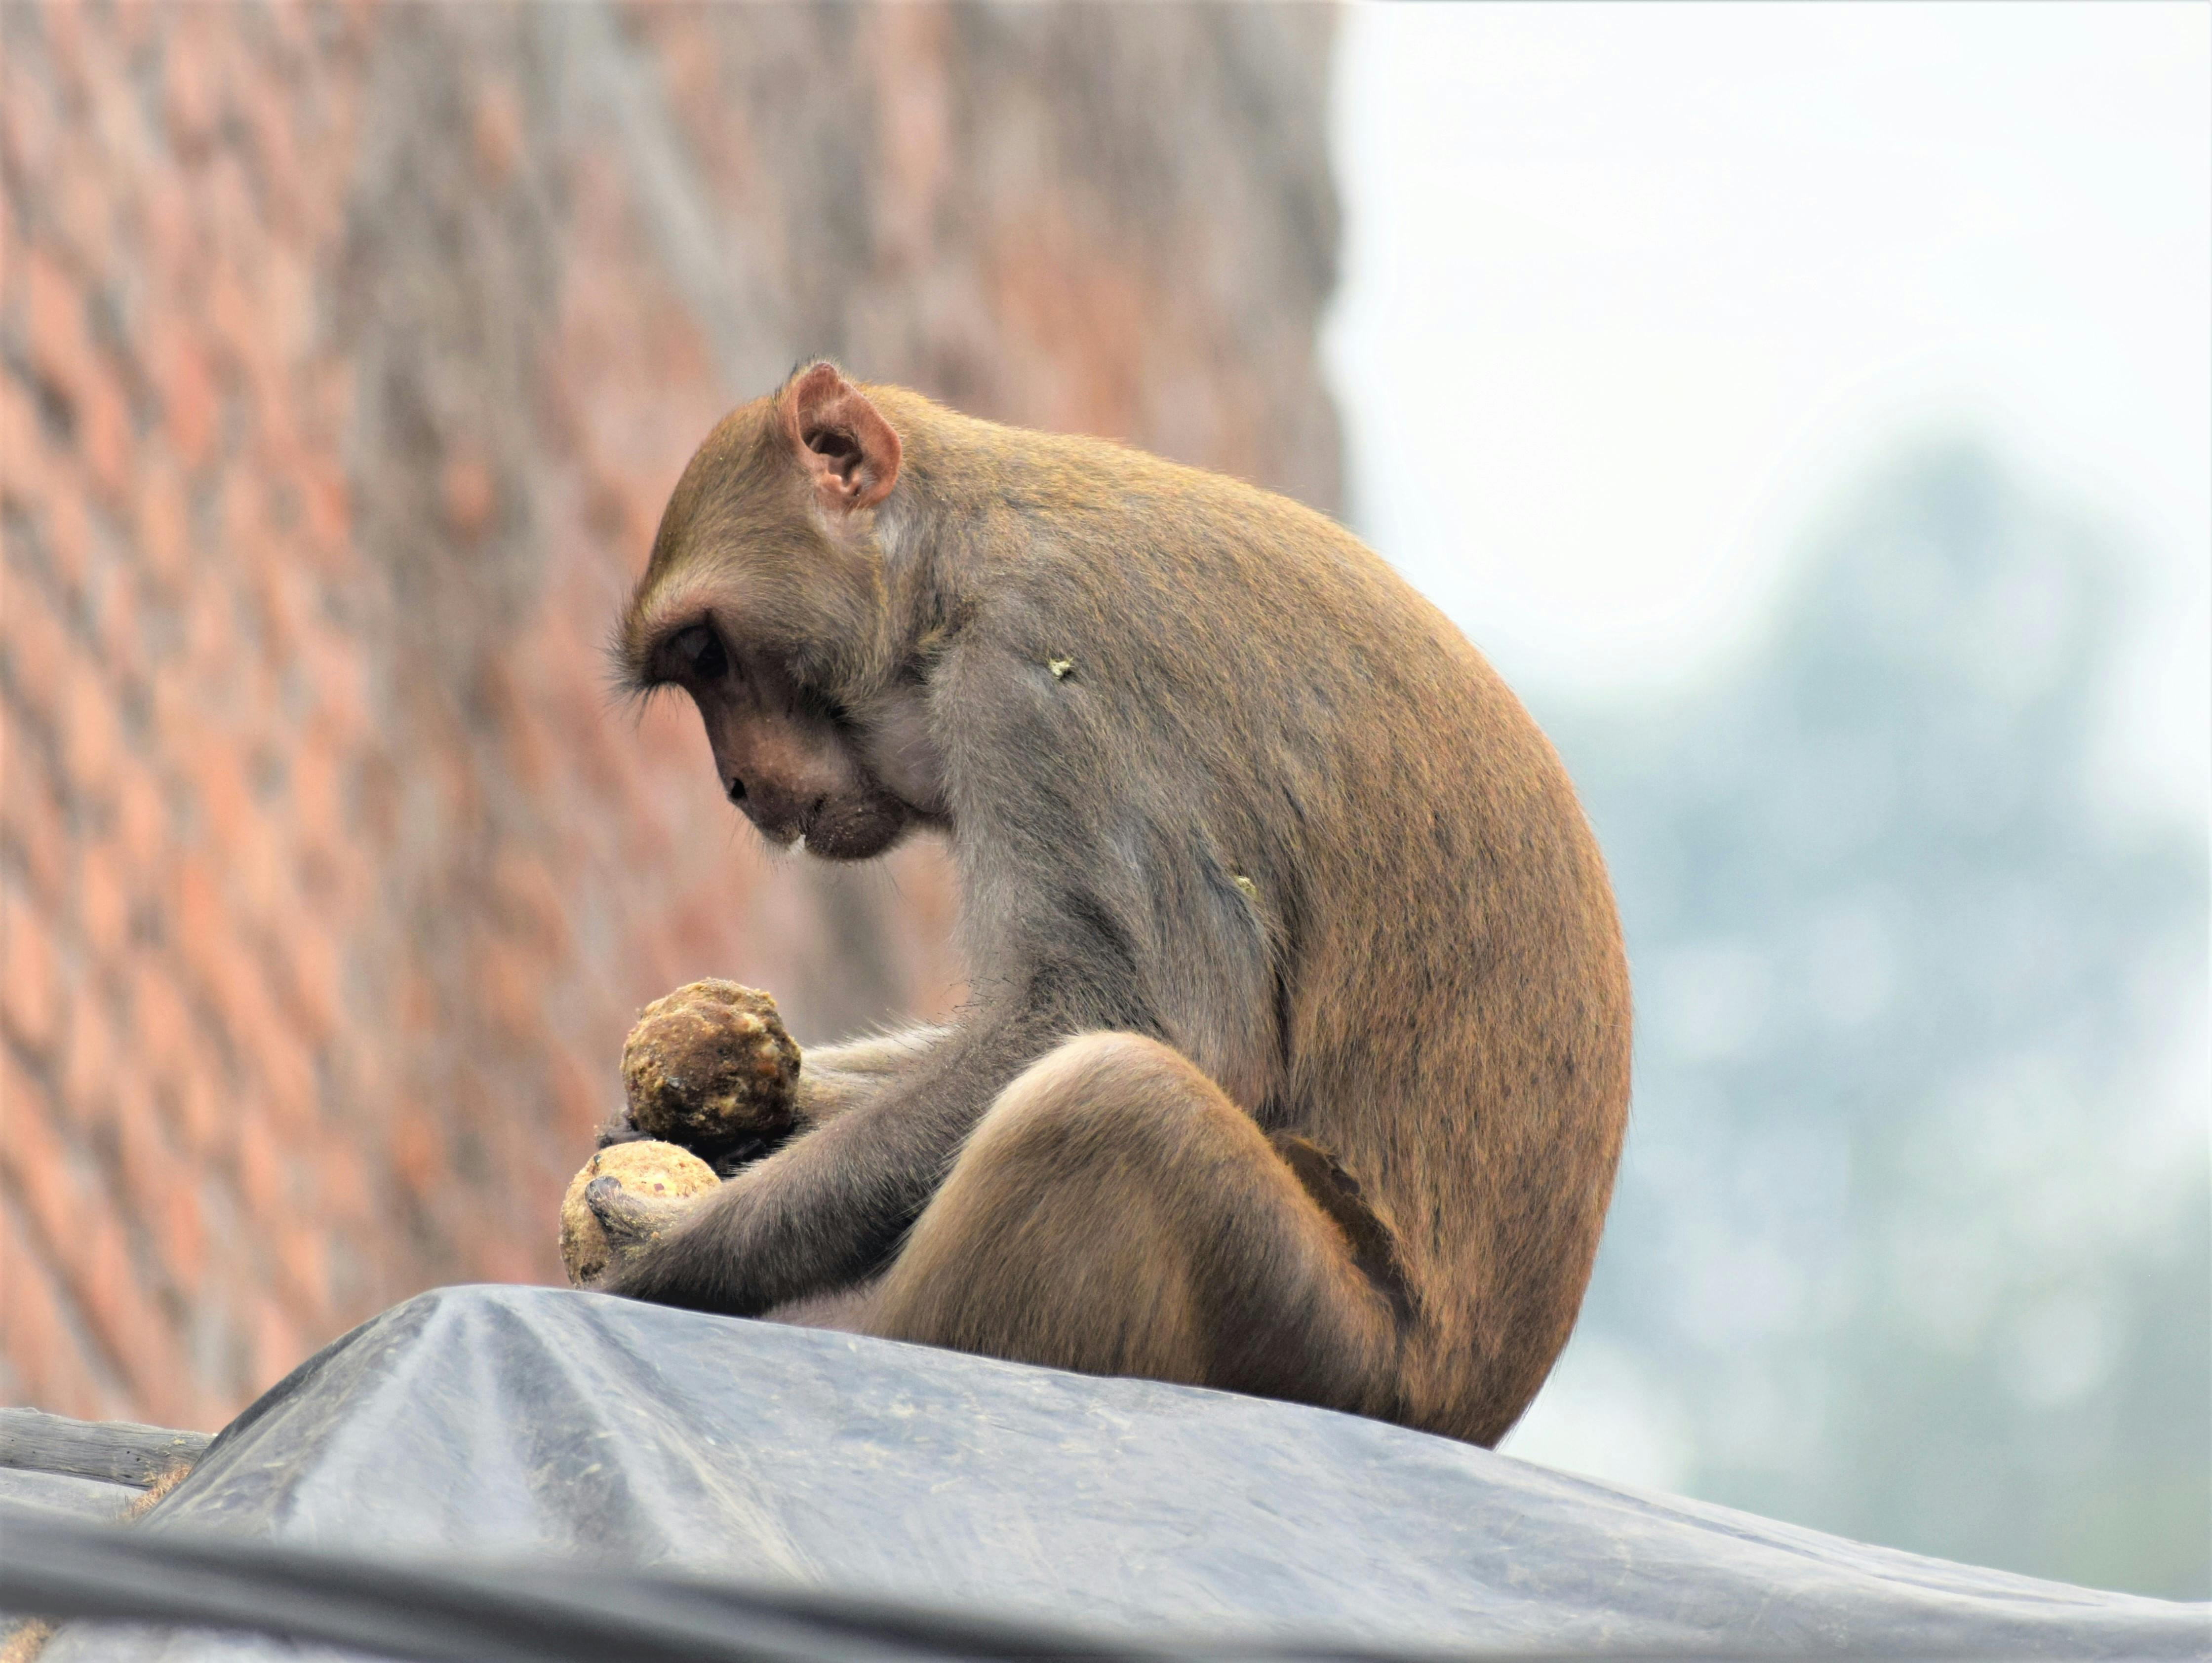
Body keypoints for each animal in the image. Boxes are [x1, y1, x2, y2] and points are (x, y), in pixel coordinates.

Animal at [590, 361, 1630, 1448]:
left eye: (708, 651)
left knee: (1113, 1100)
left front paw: (682, 1246)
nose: (739, 786)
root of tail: (1472, 1404)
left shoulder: (1036, 692)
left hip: (1315, 1339)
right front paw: (753, 1113)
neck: (952, 566)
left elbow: (1138, 1022)